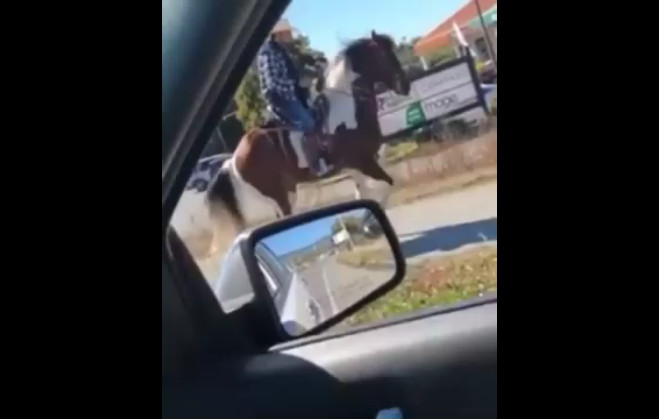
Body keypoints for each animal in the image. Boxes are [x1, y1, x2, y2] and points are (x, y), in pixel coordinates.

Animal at [205, 31, 410, 253]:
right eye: (383, 55)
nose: (405, 86)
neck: (348, 109)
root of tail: (232, 160)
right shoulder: (364, 162)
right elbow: (387, 185)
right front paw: (370, 227)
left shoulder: (357, 166)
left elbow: (364, 194)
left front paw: (368, 225)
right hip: (278, 196)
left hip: (288, 191)